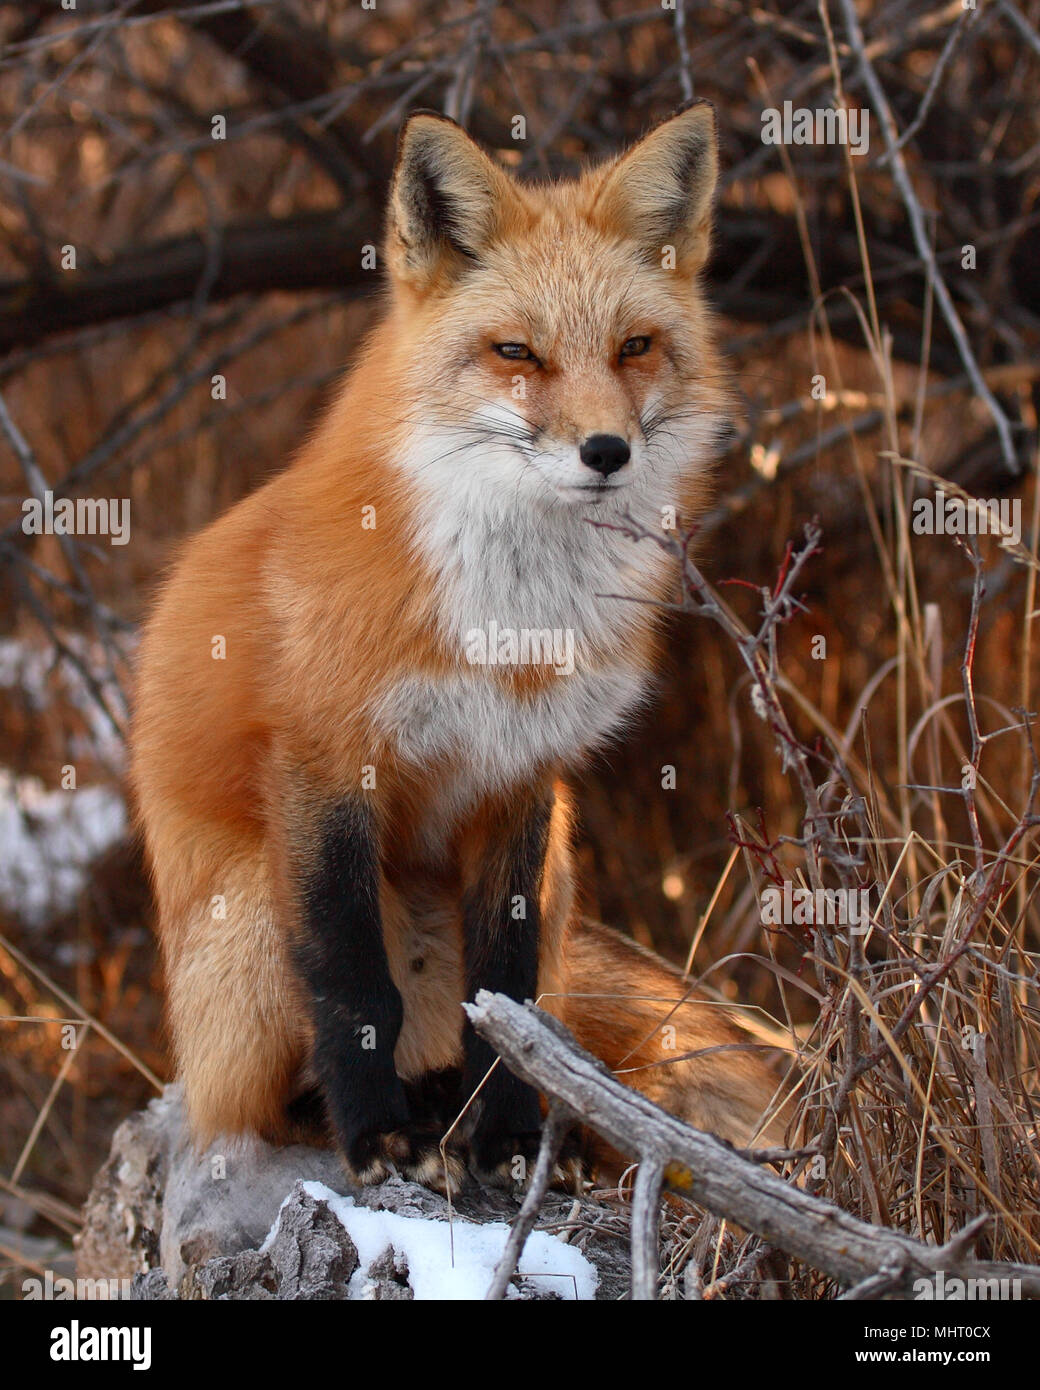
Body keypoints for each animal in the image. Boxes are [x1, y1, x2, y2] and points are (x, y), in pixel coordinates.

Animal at [130, 102, 788, 1194]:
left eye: (635, 346)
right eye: (516, 351)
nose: (606, 452)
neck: (511, 620)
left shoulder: (524, 774)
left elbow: (510, 993)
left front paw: (512, 1136)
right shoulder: (322, 759)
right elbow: (353, 987)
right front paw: (373, 1137)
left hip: (560, 865)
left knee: (522, 1017)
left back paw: (471, 1110)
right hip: (250, 907)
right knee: (252, 1103)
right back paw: (377, 1118)